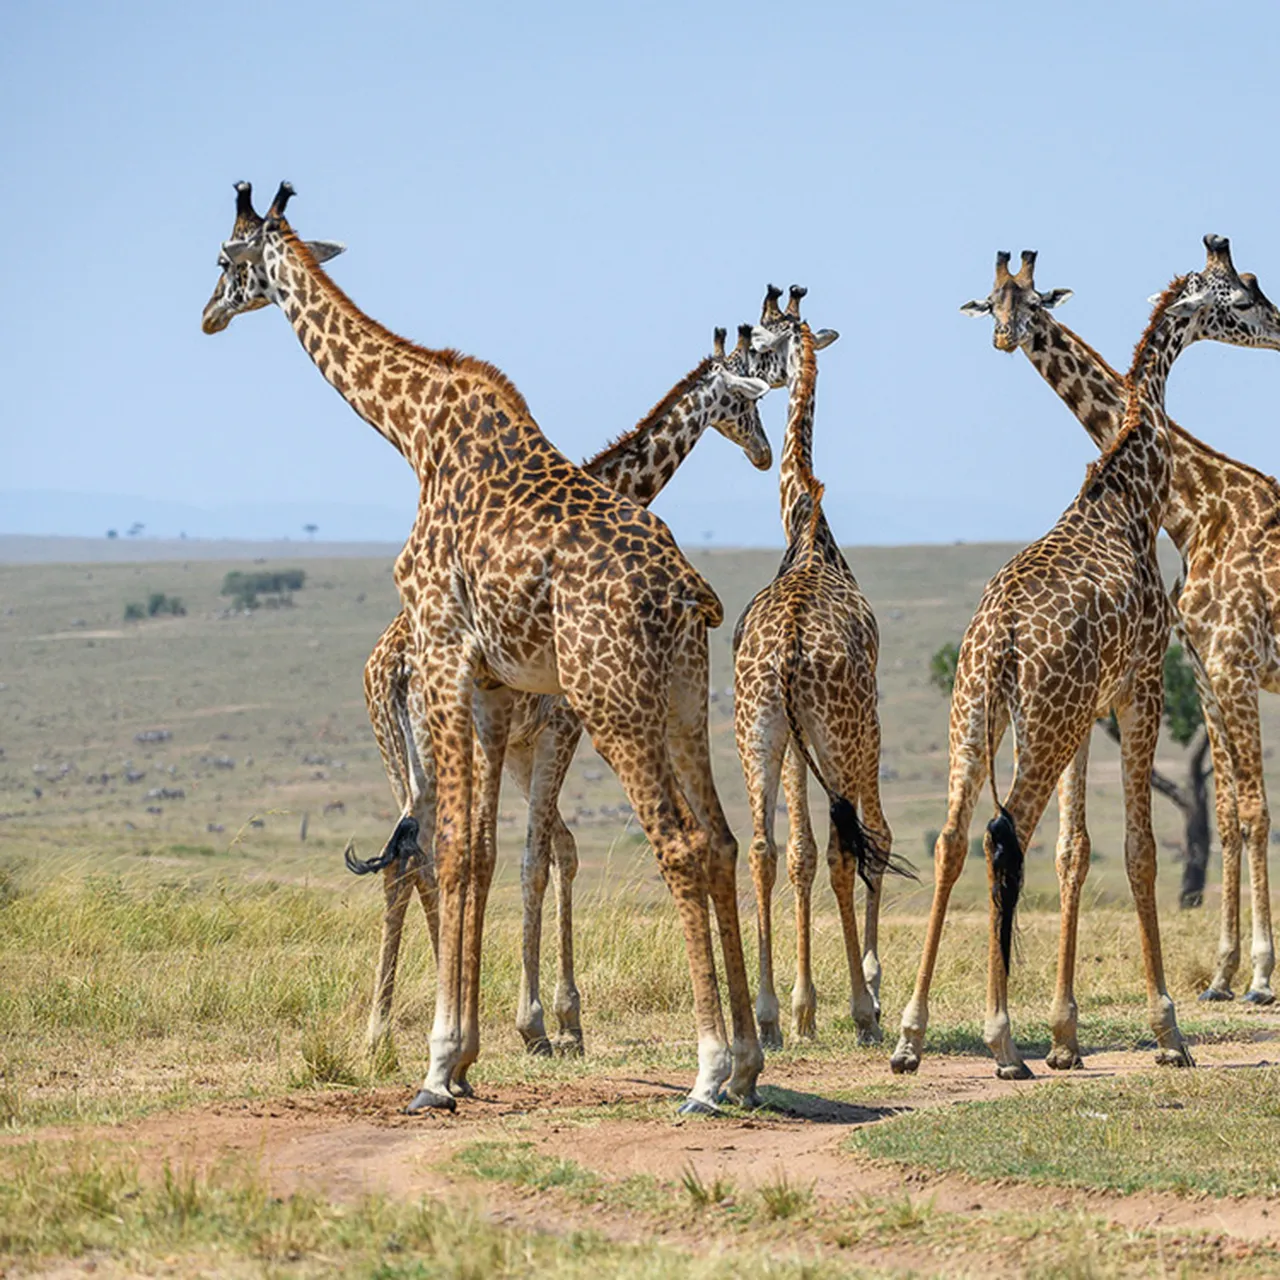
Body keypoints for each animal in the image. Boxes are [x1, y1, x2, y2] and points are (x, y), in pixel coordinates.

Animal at [350, 325, 774, 1059]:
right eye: (746, 400)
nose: (764, 453)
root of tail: (391, 669)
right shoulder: (562, 724)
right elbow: (536, 857)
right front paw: (541, 1021)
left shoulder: (527, 742)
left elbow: (551, 850)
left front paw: (549, 1017)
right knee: (422, 853)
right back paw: (407, 1019)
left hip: (401, 755)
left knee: (410, 856)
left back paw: (386, 1025)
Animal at [889, 235, 1280, 1078]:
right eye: (1242, 298)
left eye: (1031, 302)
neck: (1141, 492)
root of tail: (999, 641)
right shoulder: (1144, 685)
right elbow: (1138, 850)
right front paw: (1167, 1030)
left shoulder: (1099, 703)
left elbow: (1077, 851)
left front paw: (1066, 1037)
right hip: (1050, 717)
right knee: (1004, 836)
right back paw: (1002, 1041)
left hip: (977, 717)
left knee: (951, 838)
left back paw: (911, 1037)